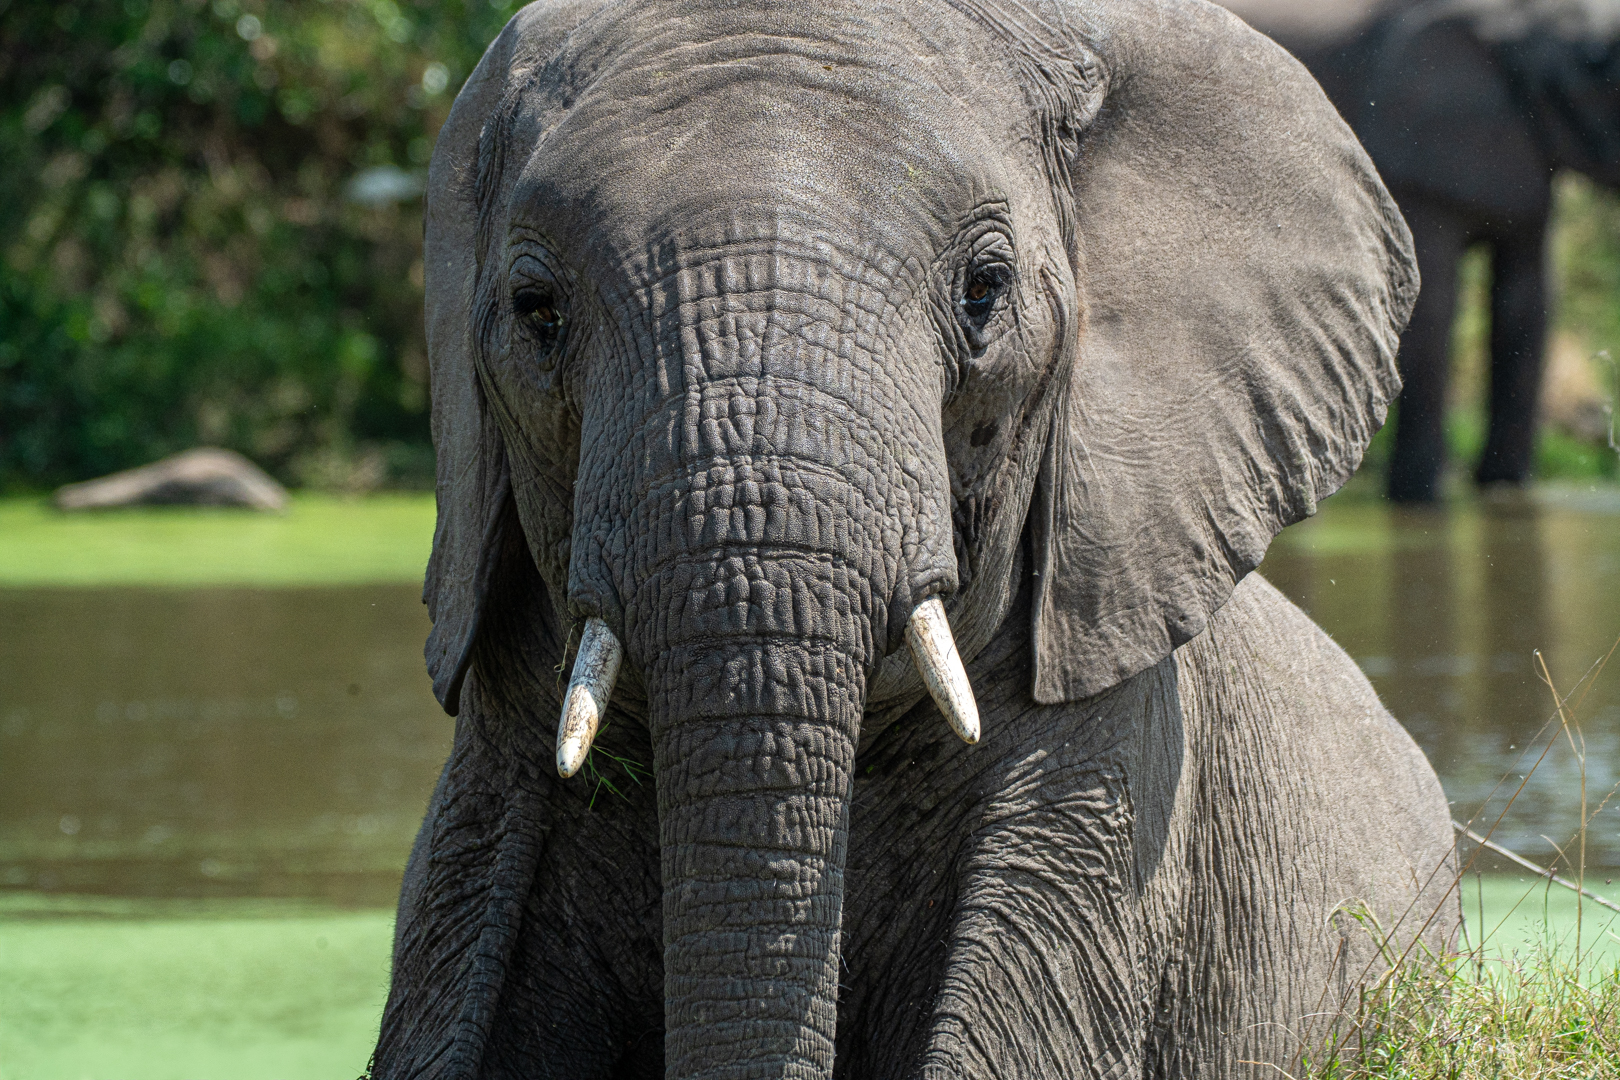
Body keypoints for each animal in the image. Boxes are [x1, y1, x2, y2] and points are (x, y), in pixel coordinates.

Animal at [1222, 0, 1620, 502]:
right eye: (1598, 78)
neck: (1527, 26)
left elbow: (1528, 302)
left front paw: (1505, 493)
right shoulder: (1420, 163)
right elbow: (1436, 303)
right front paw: (1422, 499)